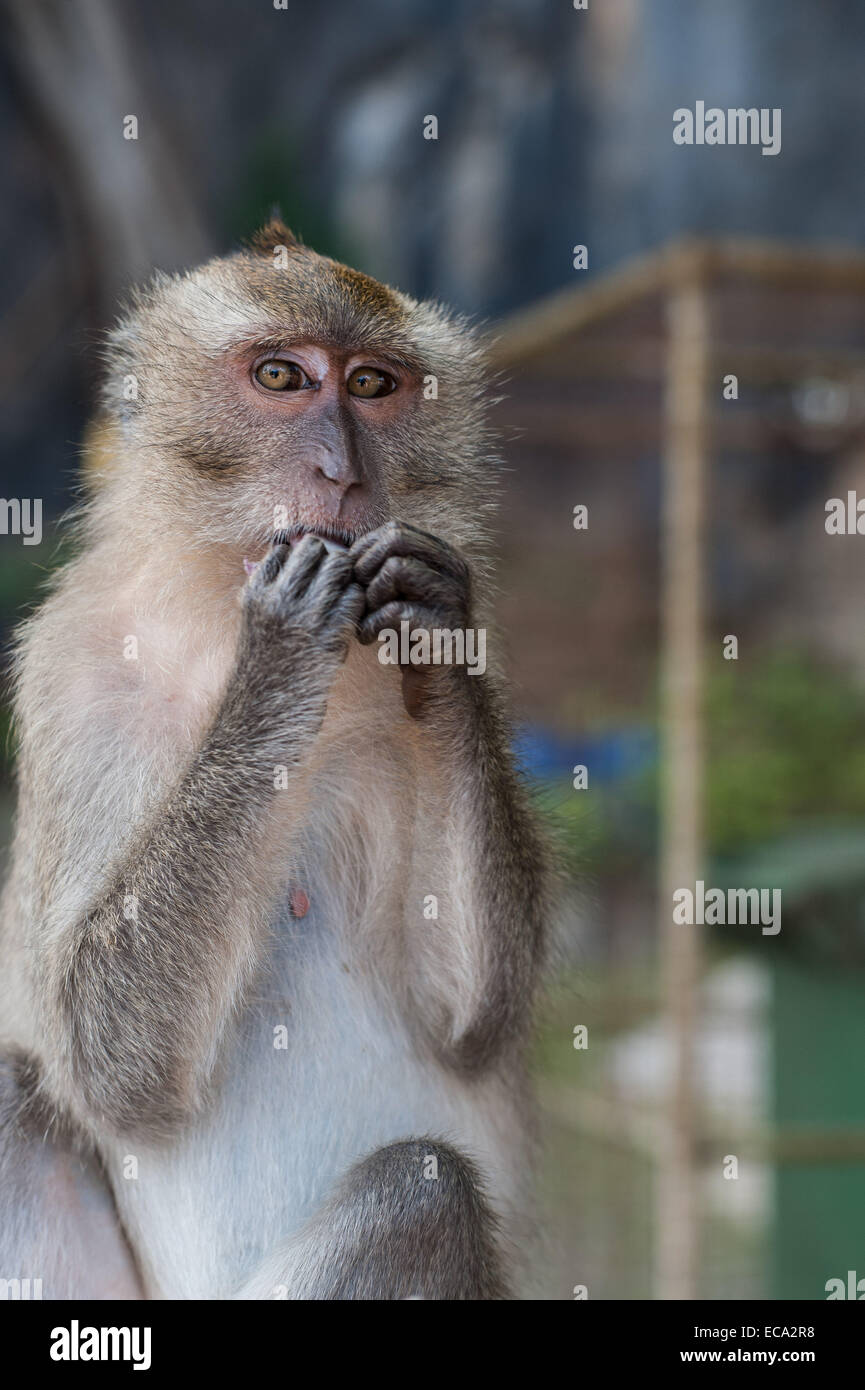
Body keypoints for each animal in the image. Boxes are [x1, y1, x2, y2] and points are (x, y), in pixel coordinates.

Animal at [0, 220, 550, 1300]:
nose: (342, 472)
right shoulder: (69, 679)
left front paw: (432, 621)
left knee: (420, 1184)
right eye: (279, 376)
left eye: (373, 384)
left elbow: (472, 1015)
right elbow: (107, 1061)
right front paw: (282, 646)